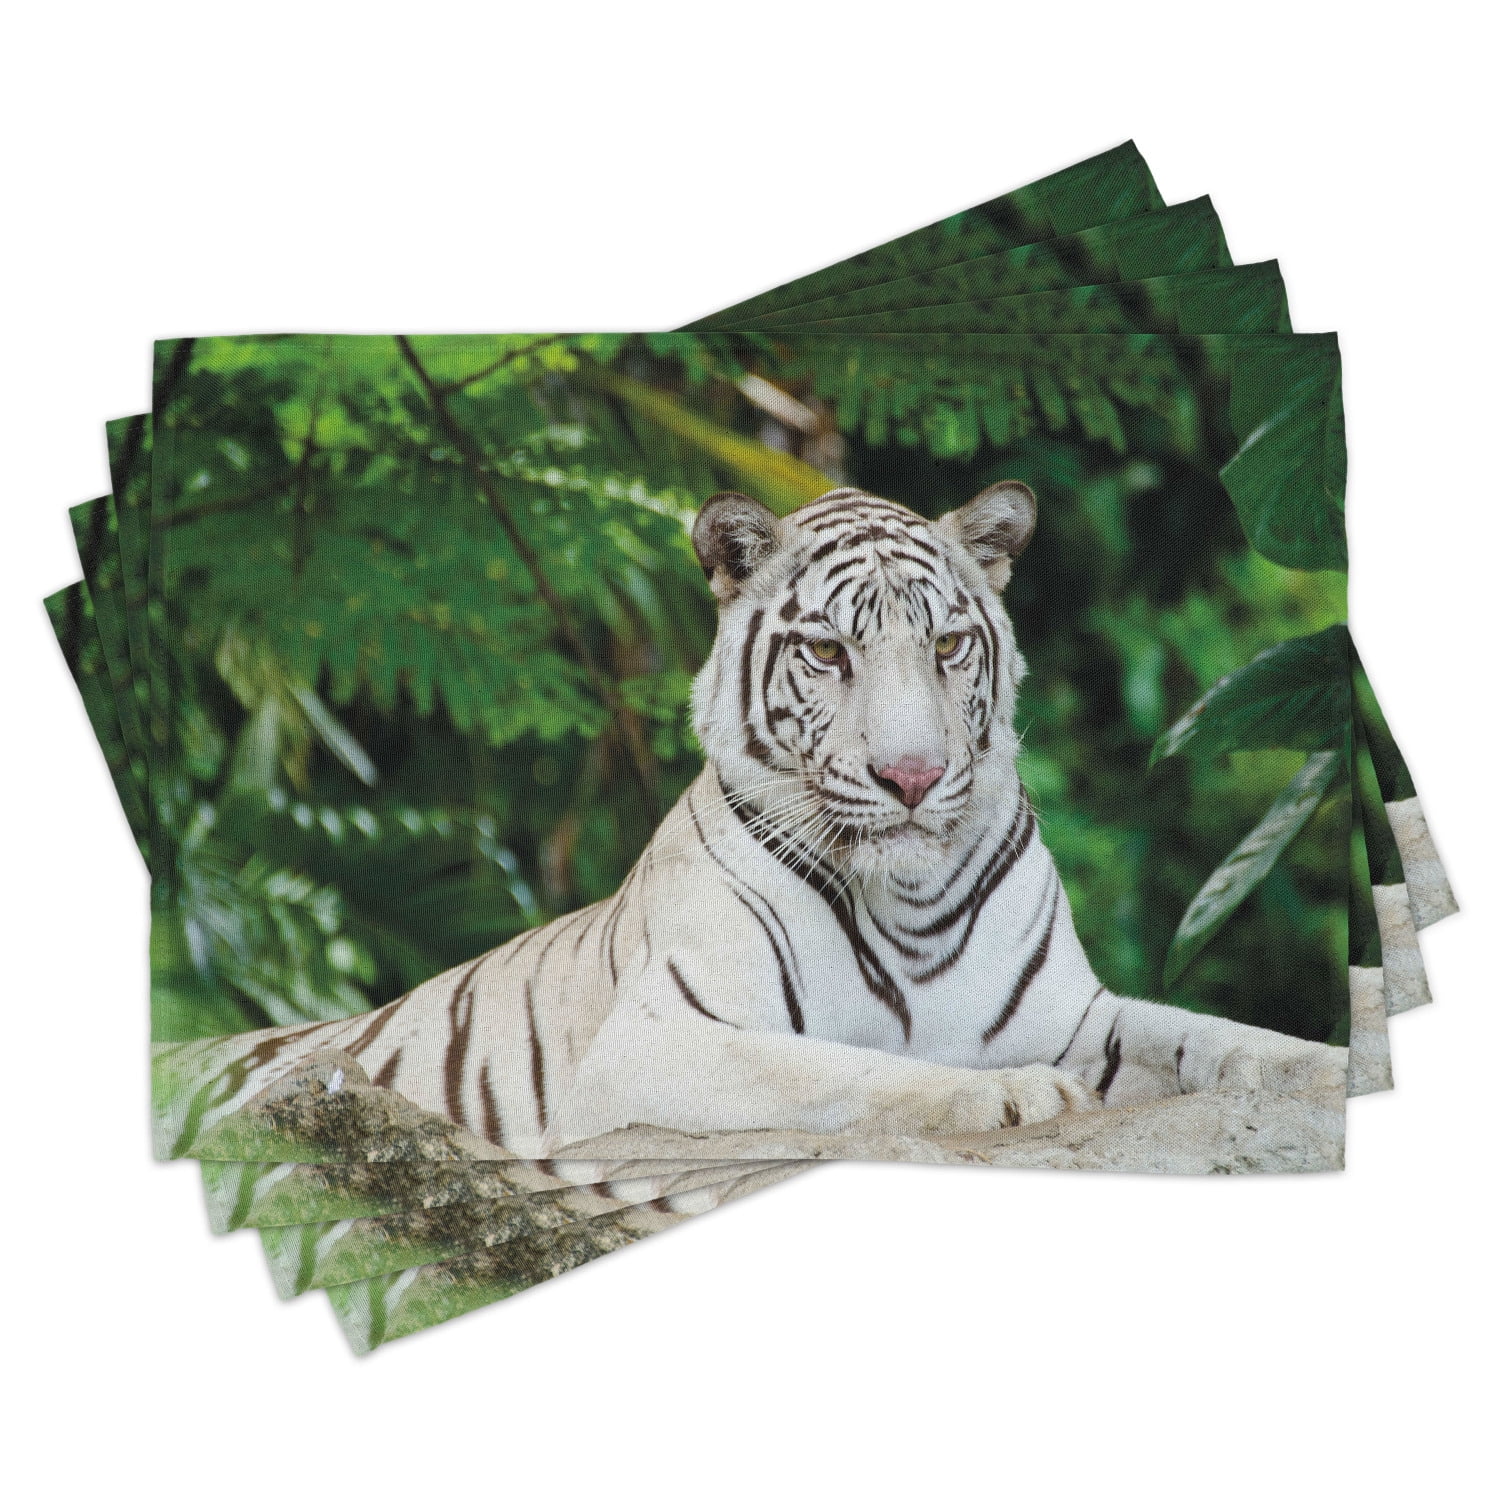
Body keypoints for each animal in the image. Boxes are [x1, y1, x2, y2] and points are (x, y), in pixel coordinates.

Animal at [155, 483, 1347, 1161]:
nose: (913, 776)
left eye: (949, 645)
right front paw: (1012, 1096)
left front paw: (1323, 1066)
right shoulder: (660, 1042)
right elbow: (854, 1069)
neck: (908, 899)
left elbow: (1216, 1039)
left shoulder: (1077, 1012)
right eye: (828, 652)